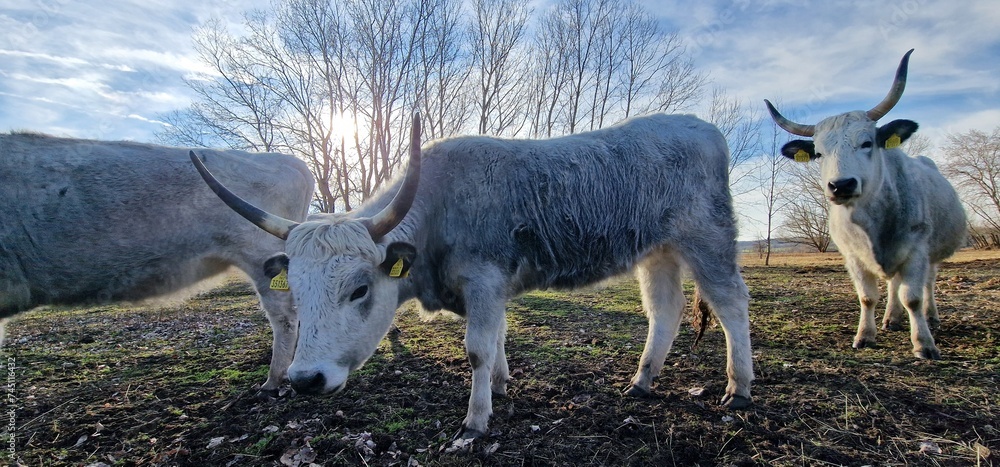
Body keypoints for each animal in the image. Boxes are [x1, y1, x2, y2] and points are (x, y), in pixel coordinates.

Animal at [191, 112, 755, 439]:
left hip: (707, 238)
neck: (438, 205)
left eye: (359, 289)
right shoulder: (493, 289)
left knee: (731, 303)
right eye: (299, 293)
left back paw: (739, 388)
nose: (305, 379)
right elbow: (499, 340)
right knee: (665, 310)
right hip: (659, 252)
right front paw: (502, 386)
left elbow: (477, 348)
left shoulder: (484, 282)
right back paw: (641, 382)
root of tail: (698, 125)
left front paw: (476, 421)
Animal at [765, 49, 967, 359]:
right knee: (893, 284)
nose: (842, 185)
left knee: (927, 283)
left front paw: (924, 344)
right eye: (819, 153)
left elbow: (913, 297)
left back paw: (931, 317)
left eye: (867, 142)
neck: (872, 222)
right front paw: (865, 336)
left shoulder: (916, 250)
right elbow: (867, 297)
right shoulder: (853, 256)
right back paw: (891, 319)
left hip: (933, 252)